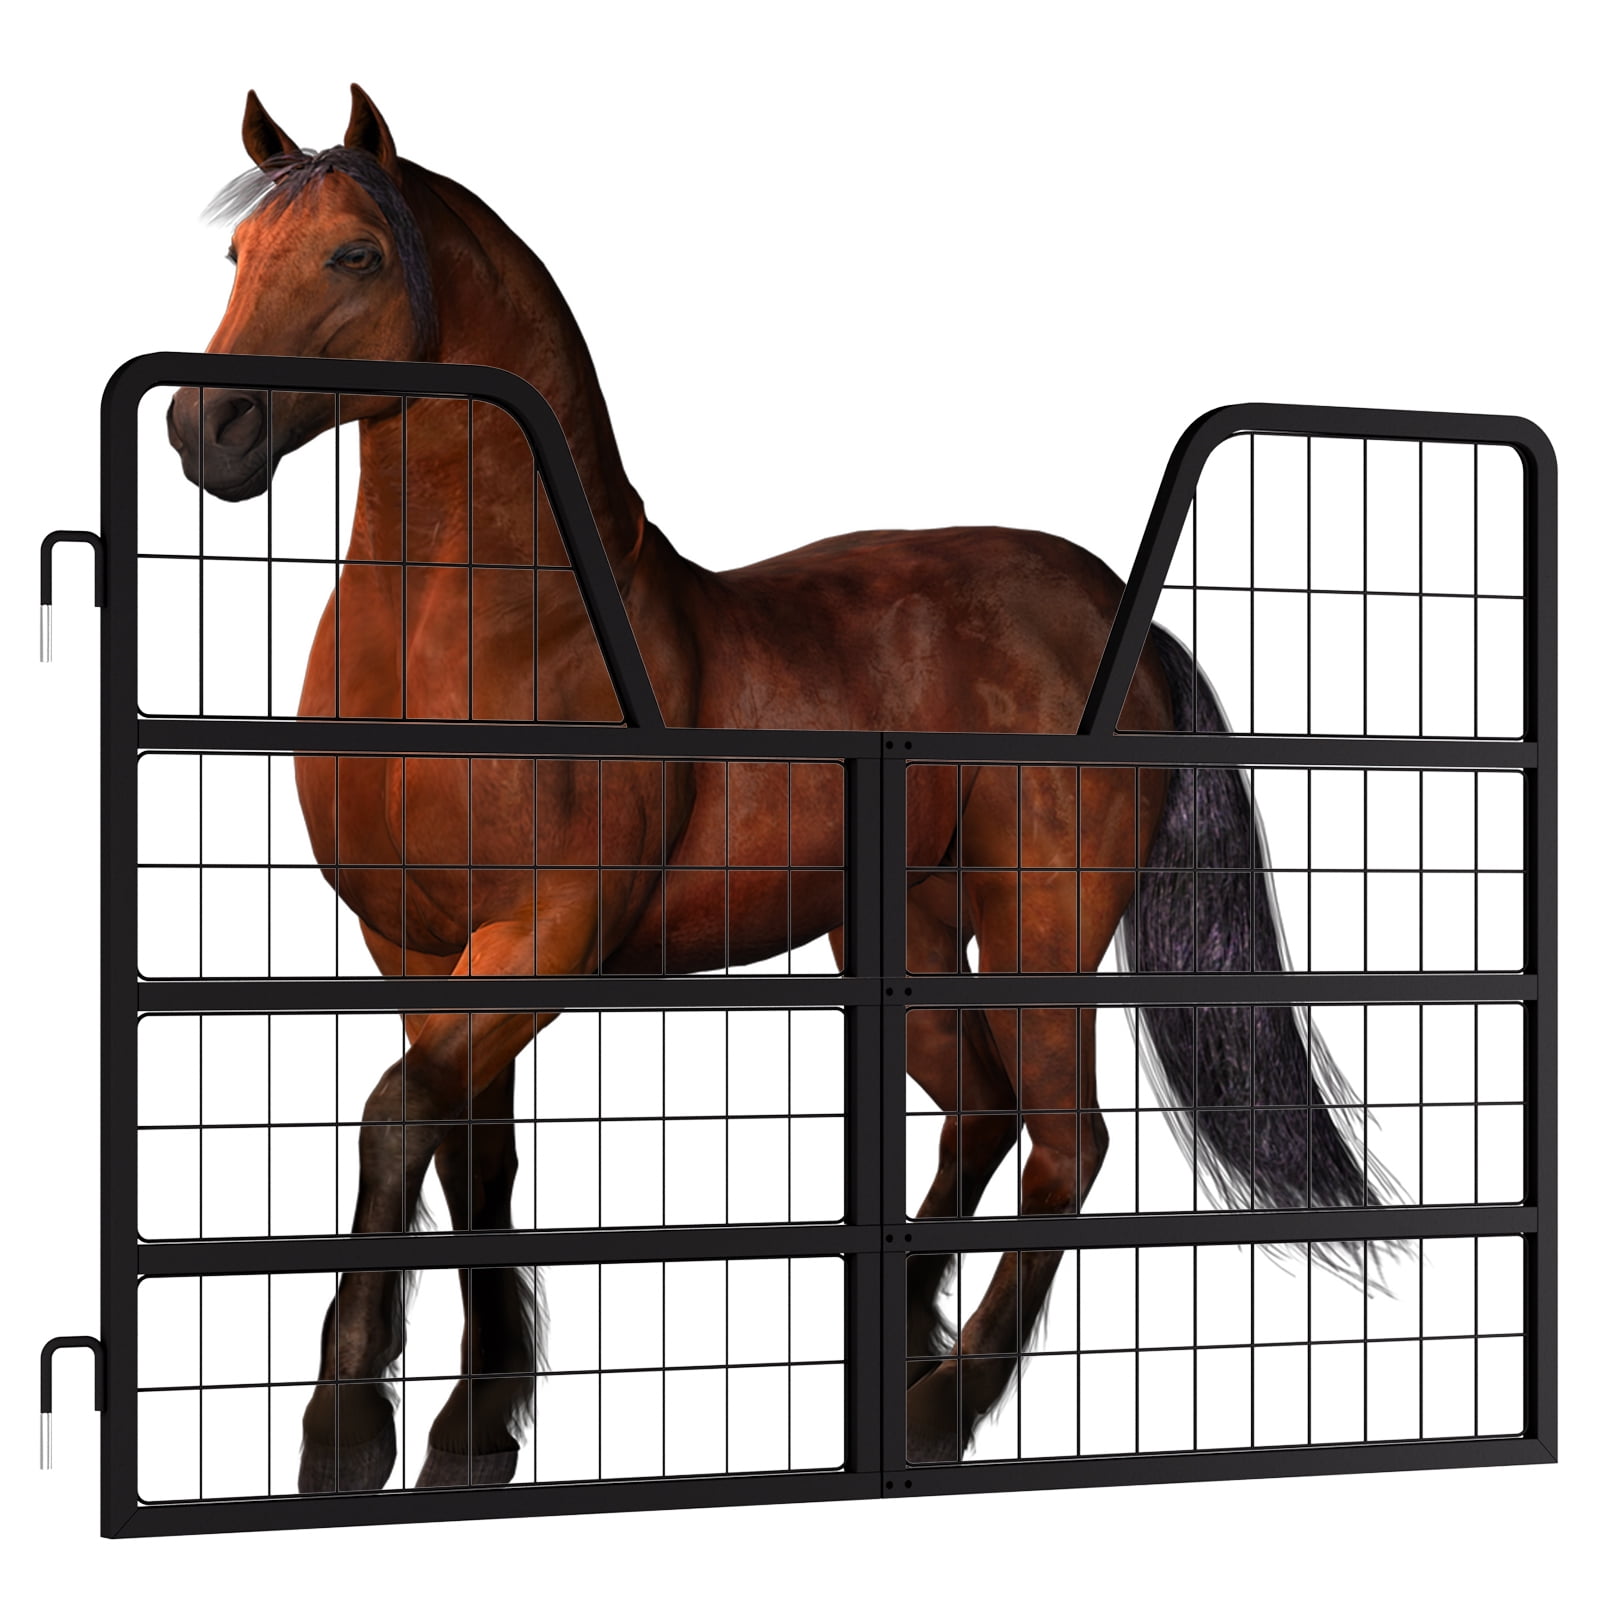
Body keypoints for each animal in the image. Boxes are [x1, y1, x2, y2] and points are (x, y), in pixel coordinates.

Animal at [166, 86, 1380, 1487]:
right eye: (236, 256)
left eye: (356, 254)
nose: (205, 431)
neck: (478, 631)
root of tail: (1109, 607)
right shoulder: (410, 944)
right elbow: (472, 1152)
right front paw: (474, 1430)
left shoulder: (547, 937)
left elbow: (395, 1116)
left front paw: (346, 1432)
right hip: (903, 929)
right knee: (981, 1117)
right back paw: (897, 1357)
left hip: (1043, 924)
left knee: (1065, 1142)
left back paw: (941, 1412)